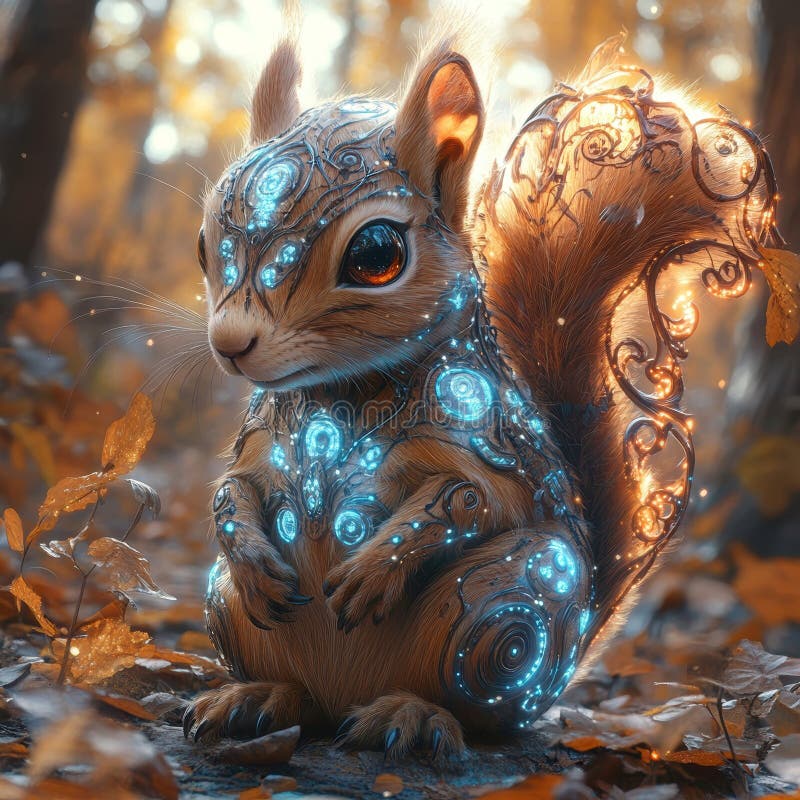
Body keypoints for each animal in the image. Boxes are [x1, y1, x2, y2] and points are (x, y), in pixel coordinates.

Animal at [182, 30, 783, 757]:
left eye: (375, 254)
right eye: (203, 244)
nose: (229, 342)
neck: (336, 398)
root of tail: (344, 695)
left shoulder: (492, 450)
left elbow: (469, 501)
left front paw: (377, 565)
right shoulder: (260, 450)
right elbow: (230, 492)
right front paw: (248, 550)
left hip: (503, 602)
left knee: (475, 711)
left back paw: (410, 717)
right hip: (229, 610)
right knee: (300, 695)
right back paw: (255, 697)